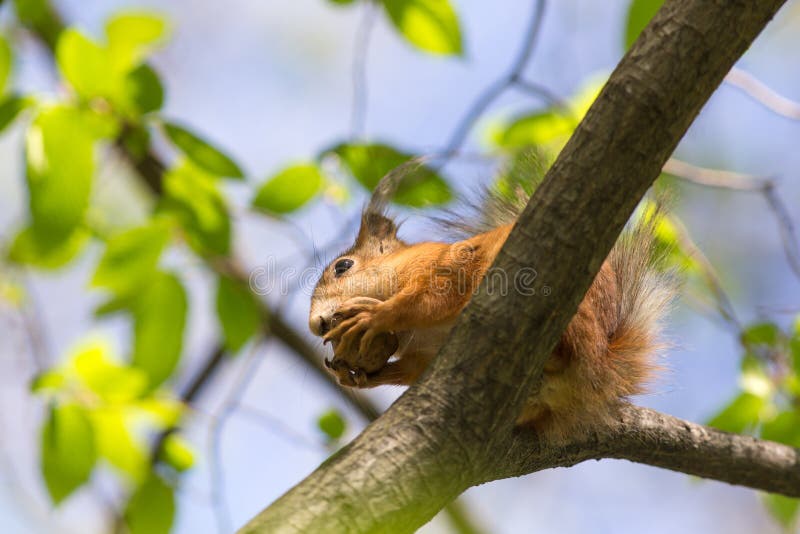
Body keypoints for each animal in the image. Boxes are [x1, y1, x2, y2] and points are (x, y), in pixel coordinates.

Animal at [308, 158, 674, 439]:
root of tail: (598, 368)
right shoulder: (424, 353)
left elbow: (427, 301)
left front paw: (373, 315)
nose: (315, 324)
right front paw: (353, 376)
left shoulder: (444, 270)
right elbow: (412, 369)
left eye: (342, 266)